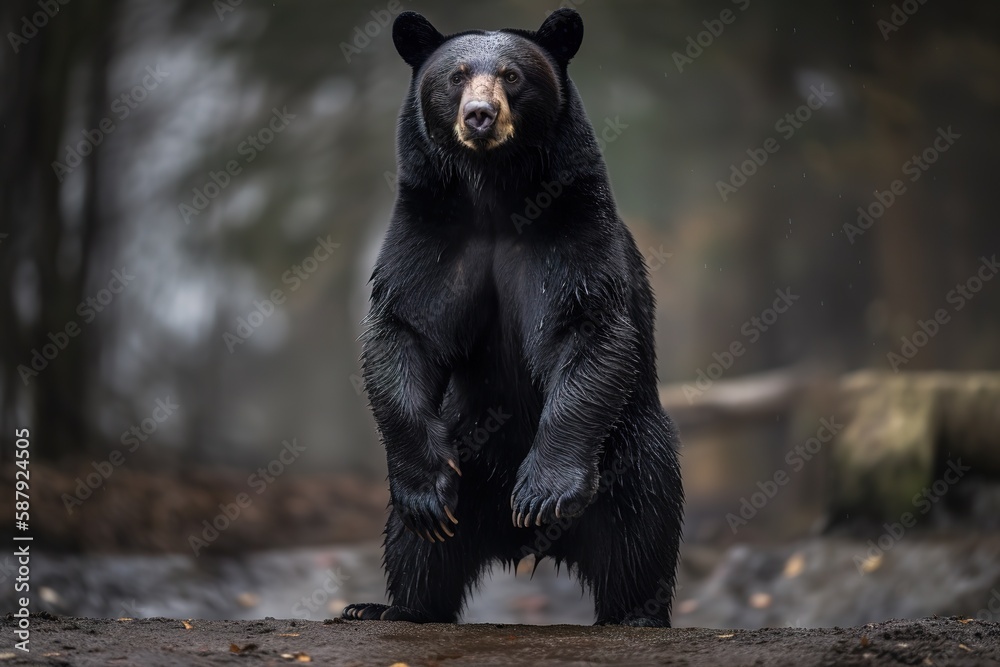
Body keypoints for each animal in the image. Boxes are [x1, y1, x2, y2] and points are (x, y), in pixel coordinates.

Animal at [342, 8, 684, 627]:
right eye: (455, 76)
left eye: (511, 75)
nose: (479, 114)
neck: (495, 199)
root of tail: (521, 548)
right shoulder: (431, 238)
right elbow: (404, 331)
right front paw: (427, 496)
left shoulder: (573, 234)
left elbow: (588, 331)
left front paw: (541, 492)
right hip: (466, 450)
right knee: (415, 547)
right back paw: (391, 606)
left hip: (628, 444)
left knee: (642, 521)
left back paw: (635, 612)